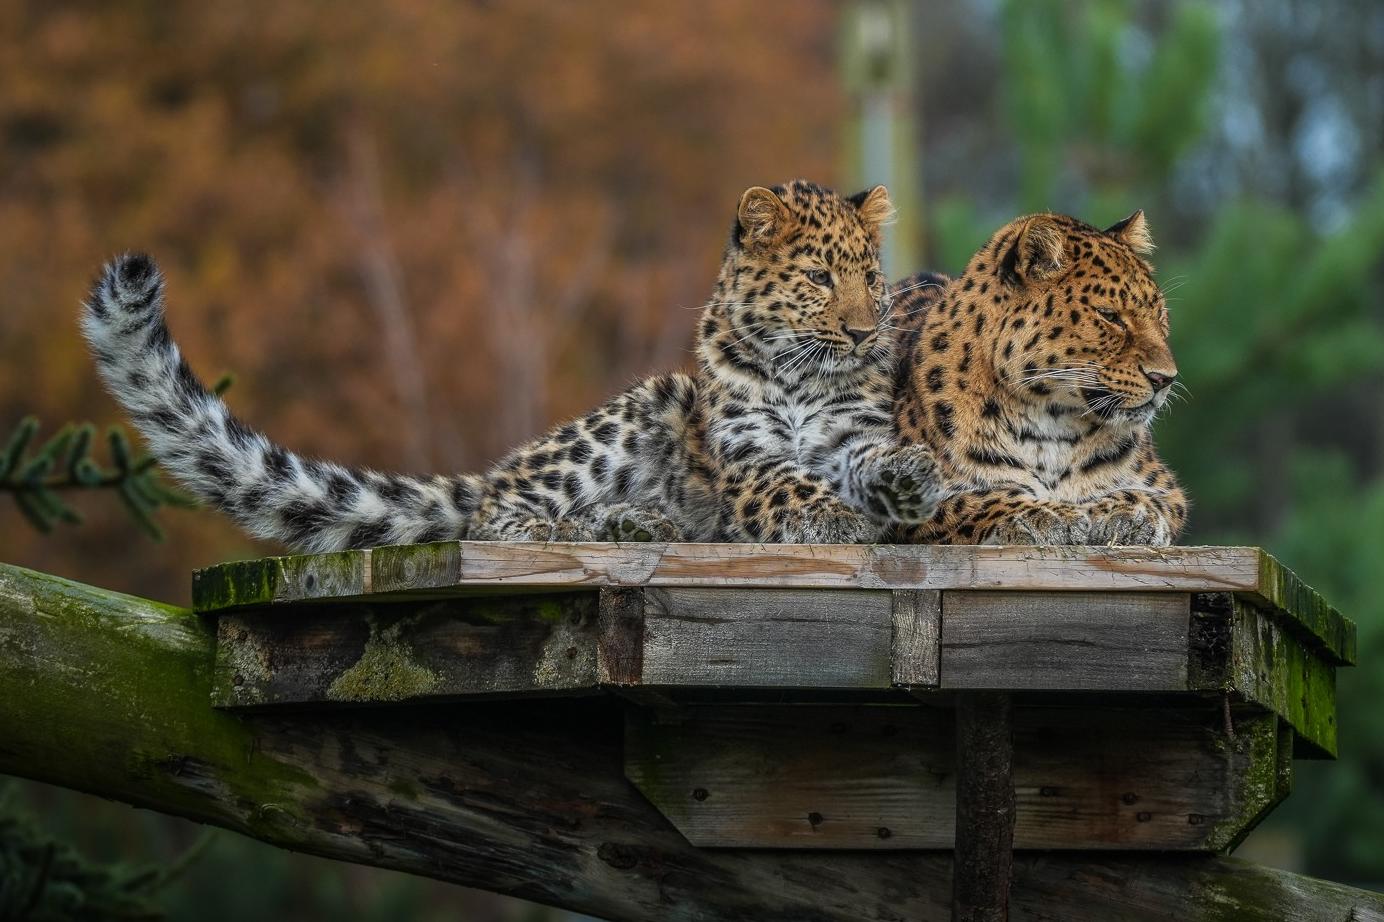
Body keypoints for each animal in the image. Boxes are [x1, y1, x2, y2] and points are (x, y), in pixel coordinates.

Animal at [82, 180, 942, 553]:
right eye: (819, 278)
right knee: (500, 508)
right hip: (643, 408)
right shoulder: (745, 454)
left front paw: (910, 476)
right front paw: (832, 515)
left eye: (871, 276)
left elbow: (869, 457)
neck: (799, 373)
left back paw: (635, 521)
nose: (864, 332)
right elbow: (787, 481)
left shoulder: (848, 436)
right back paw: (578, 521)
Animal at [891, 209, 1187, 546]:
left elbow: (1146, 497)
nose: (1165, 379)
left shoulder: (1167, 488)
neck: (1053, 426)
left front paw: (1130, 515)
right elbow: (978, 499)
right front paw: (1043, 515)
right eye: (1109, 316)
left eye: (1160, 315)